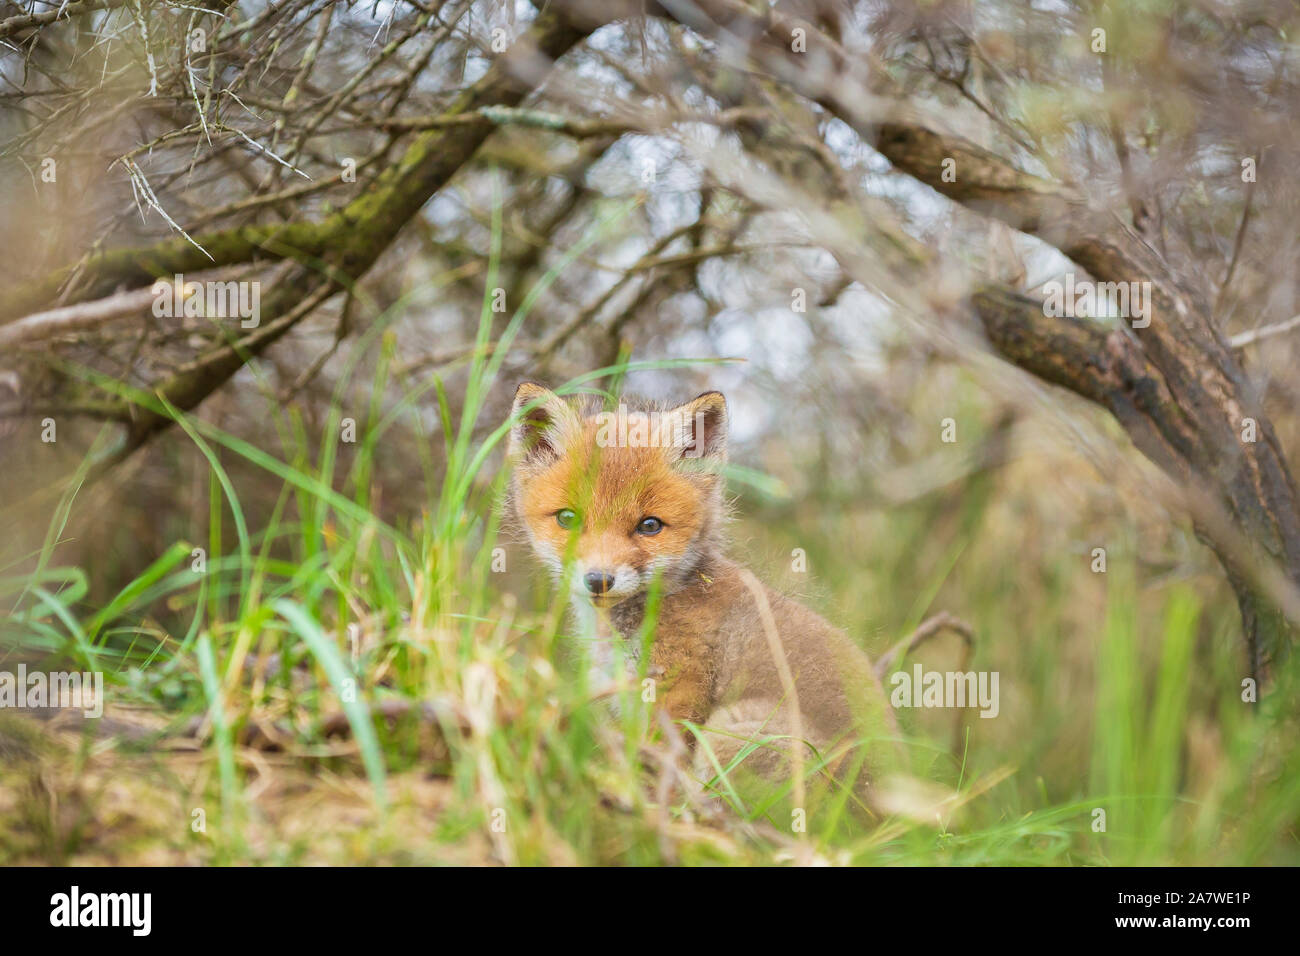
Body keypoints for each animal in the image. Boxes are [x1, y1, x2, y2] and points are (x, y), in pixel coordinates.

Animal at [507, 382, 900, 804]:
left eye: (649, 526)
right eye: (568, 518)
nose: (598, 580)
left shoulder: (678, 690)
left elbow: (658, 770)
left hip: (734, 731)